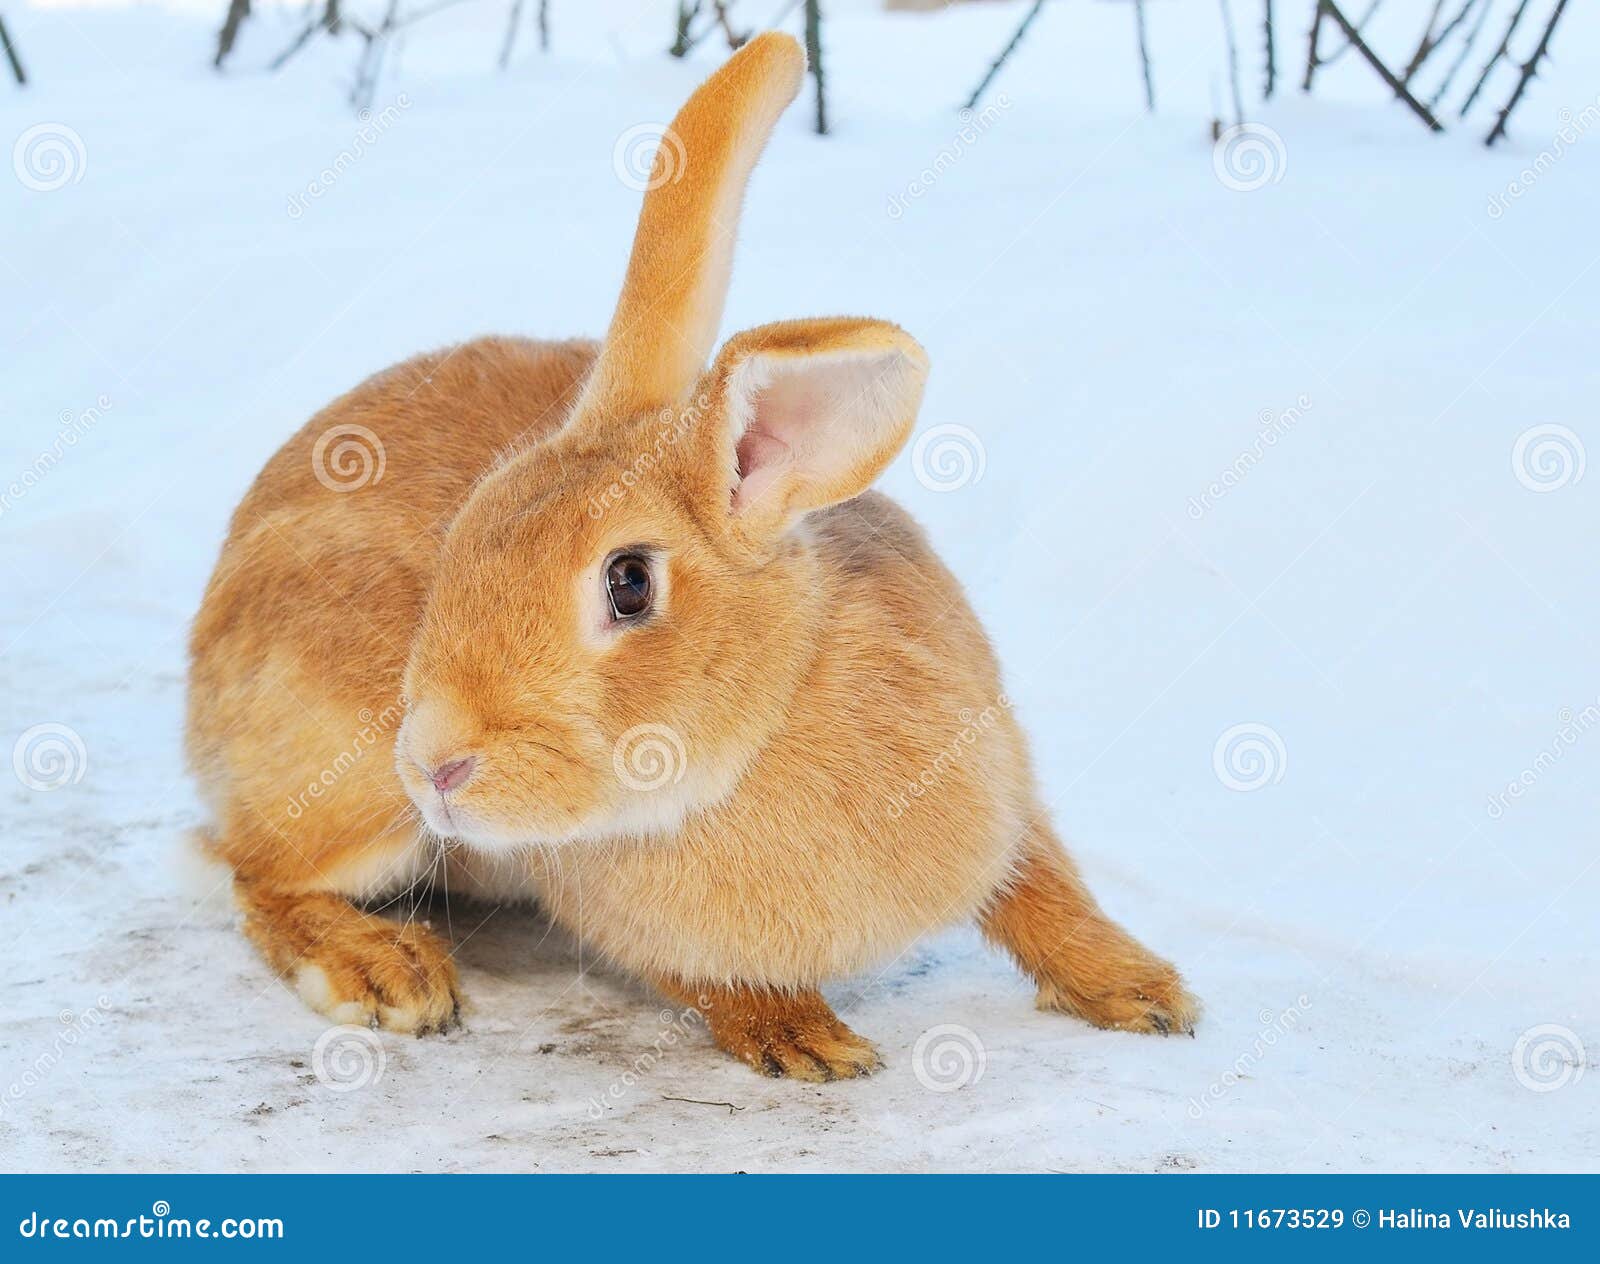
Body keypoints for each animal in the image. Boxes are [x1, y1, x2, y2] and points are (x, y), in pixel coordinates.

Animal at [187, 31, 1197, 1080]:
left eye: (629, 584)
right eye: (455, 543)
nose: (434, 767)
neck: (766, 722)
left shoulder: (1001, 786)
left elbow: (1041, 885)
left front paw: (1144, 995)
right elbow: (711, 980)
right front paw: (809, 1041)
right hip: (348, 789)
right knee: (254, 875)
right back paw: (386, 973)